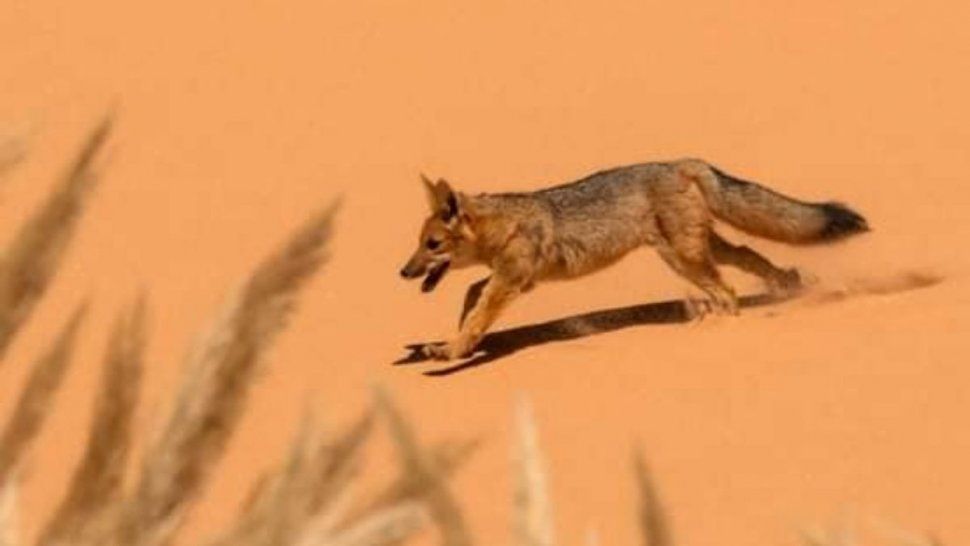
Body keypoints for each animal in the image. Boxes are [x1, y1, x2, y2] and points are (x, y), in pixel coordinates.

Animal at [399, 159, 868, 360]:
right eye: (418, 243)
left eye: (433, 244)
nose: (402, 271)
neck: (506, 222)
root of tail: (682, 161)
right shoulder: (511, 278)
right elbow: (471, 297)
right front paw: (457, 339)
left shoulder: (511, 280)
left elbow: (478, 312)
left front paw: (452, 350)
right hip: (701, 249)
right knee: (748, 256)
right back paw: (787, 283)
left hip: (683, 257)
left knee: (728, 290)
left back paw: (720, 326)